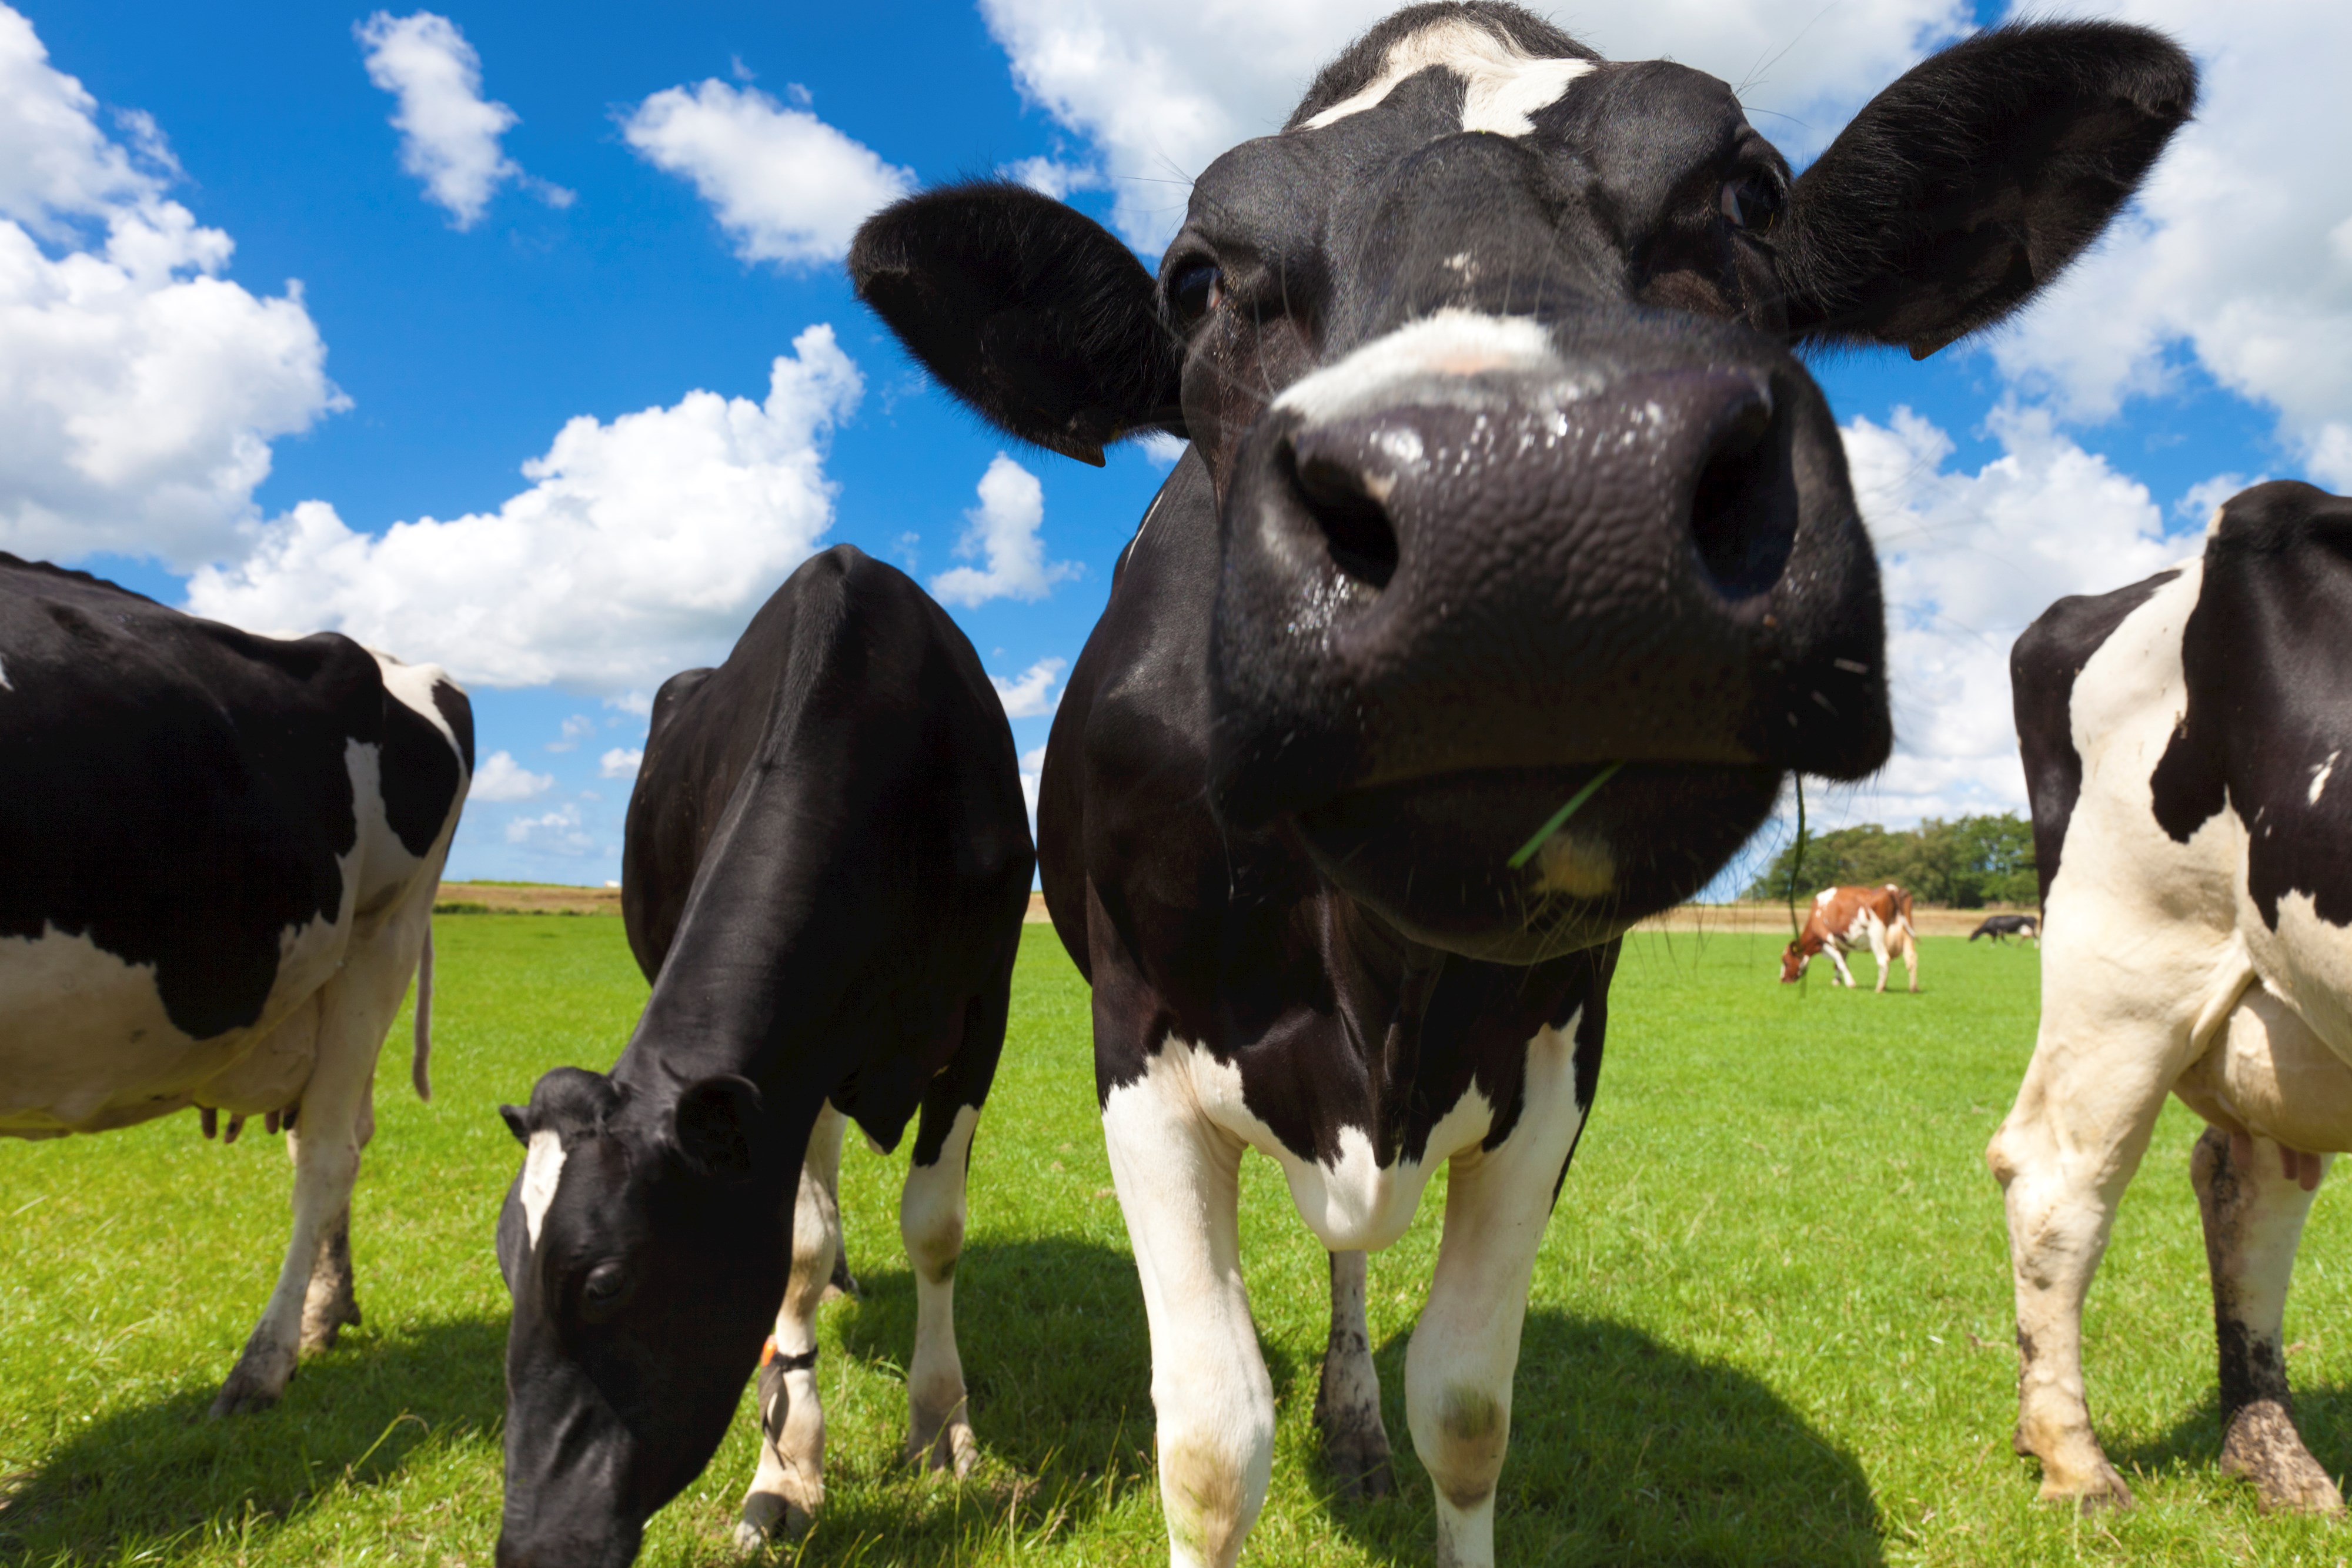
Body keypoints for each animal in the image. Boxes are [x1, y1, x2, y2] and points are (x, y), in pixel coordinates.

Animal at [0, 553, 471, 1417]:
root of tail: (396, 663)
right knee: (339, 1132)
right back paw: (326, 1312)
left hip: (380, 936)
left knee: (326, 1154)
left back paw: (260, 1366)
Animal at [492, 545, 1034, 1568]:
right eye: (508, 1271)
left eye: (606, 1280)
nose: (535, 1546)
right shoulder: (793, 1064)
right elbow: (796, 1246)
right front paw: (787, 1466)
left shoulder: (984, 1004)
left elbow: (936, 1224)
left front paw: (942, 1425)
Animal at [1779, 883, 1921, 992]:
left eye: (1786, 961)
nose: (1782, 980)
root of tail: (1891, 888)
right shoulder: (1844, 943)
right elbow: (1838, 963)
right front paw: (1836, 981)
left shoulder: (1827, 941)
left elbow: (1840, 962)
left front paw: (1850, 983)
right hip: (1907, 935)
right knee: (1911, 959)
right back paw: (1913, 988)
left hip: (1876, 935)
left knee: (1883, 960)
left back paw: (1879, 989)